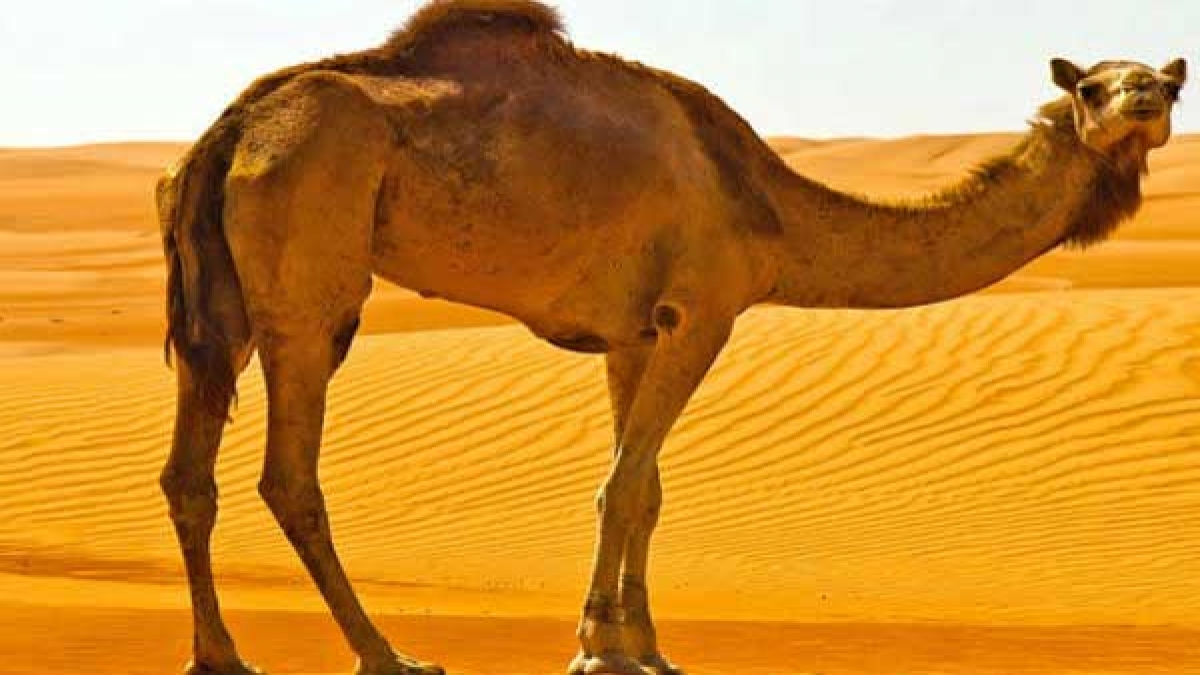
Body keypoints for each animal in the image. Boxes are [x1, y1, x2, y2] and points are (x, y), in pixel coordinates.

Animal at [156, 1, 1187, 674]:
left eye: (1162, 82)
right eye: (1093, 86)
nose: (1145, 94)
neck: (769, 208)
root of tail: (230, 127)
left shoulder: (631, 333)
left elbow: (645, 488)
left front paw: (644, 644)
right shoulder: (704, 309)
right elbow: (622, 484)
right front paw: (596, 648)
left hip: (222, 299)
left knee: (190, 471)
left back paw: (222, 655)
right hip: (311, 267)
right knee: (290, 472)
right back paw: (389, 655)